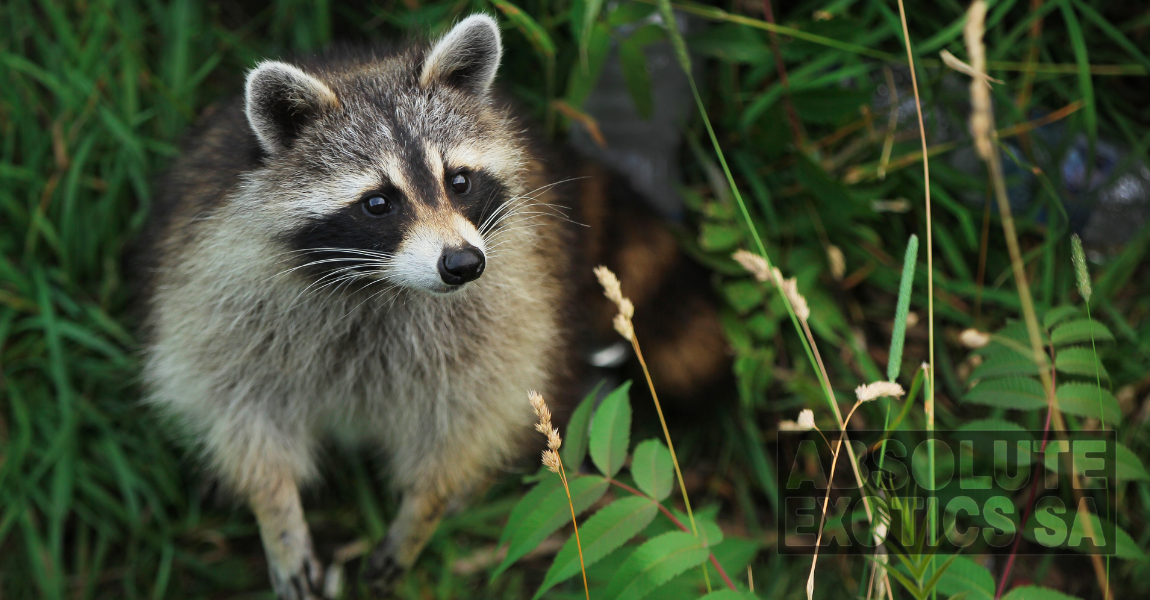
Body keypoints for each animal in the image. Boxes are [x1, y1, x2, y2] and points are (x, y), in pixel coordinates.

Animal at [138, 14, 728, 599]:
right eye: (378, 203)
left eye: (459, 181)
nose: (463, 264)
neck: (382, 285)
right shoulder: (223, 292)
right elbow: (241, 407)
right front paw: (276, 513)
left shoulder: (508, 306)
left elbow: (469, 417)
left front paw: (425, 509)